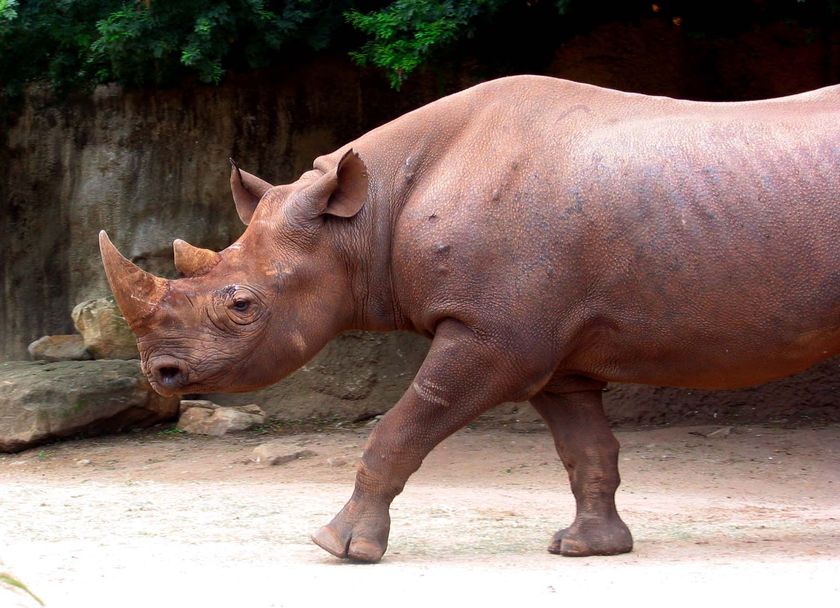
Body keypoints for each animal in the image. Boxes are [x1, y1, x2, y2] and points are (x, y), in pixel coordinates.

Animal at [99, 75, 840, 563]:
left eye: (242, 305)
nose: (162, 372)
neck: (364, 219)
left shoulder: (494, 338)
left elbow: (401, 427)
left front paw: (339, 545)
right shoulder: (549, 352)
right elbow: (586, 448)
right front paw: (588, 547)